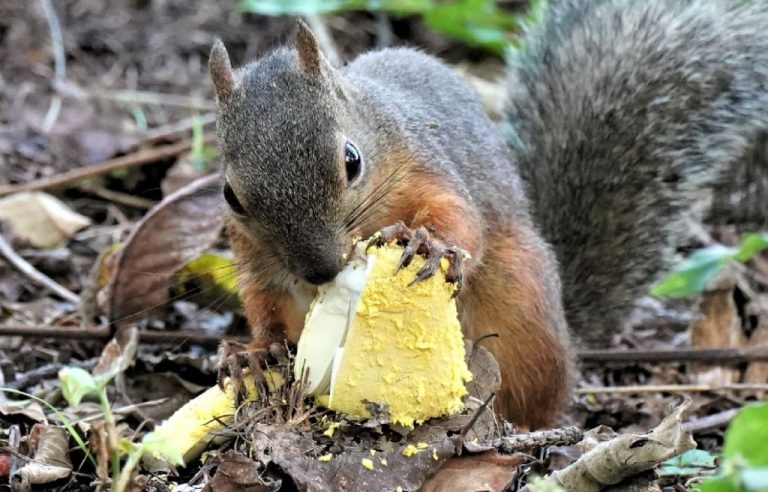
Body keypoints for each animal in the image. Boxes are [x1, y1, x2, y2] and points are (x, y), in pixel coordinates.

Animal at [208, 0, 768, 430]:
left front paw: (427, 242)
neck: (374, 124)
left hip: (521, 310)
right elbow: (265, 301)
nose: (320, 271)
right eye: (230, 195)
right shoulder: (253, 256)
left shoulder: (426, 168)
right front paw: (255, 352)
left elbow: (459, 218)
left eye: (352, 160)